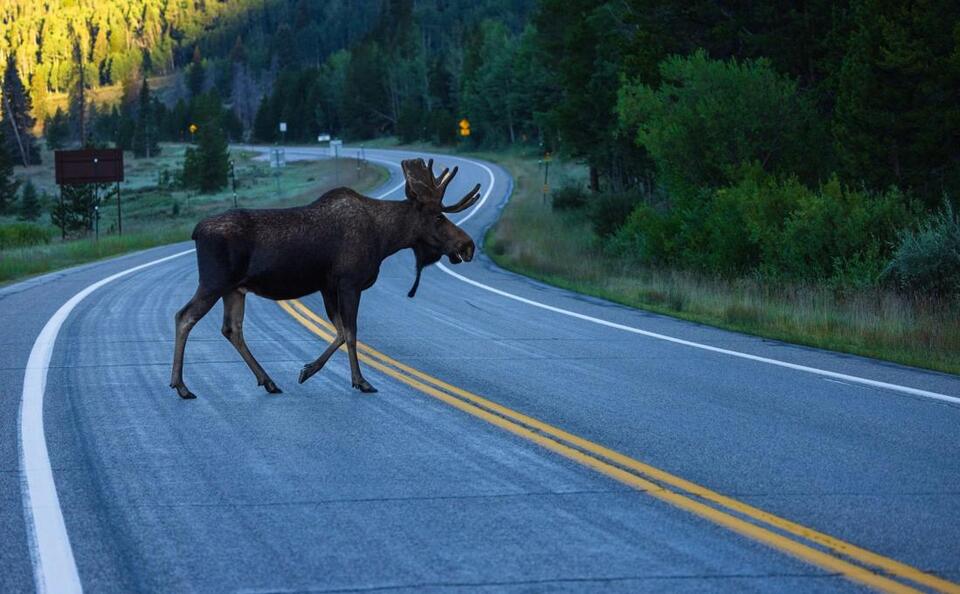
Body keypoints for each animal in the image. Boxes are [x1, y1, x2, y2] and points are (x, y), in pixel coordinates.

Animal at [169, 158, 481, 399]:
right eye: (438, 217)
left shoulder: (328, 286)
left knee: (231, 328)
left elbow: (340, 331)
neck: (385, 239)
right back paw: (181, 386)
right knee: (184, 316)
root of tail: (196, 231)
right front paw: (361, 381)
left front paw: (308, 370)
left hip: (235, 289)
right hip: (214, 282)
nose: (468, 245)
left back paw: (268, 381)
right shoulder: (349, 282)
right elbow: (352, 333)